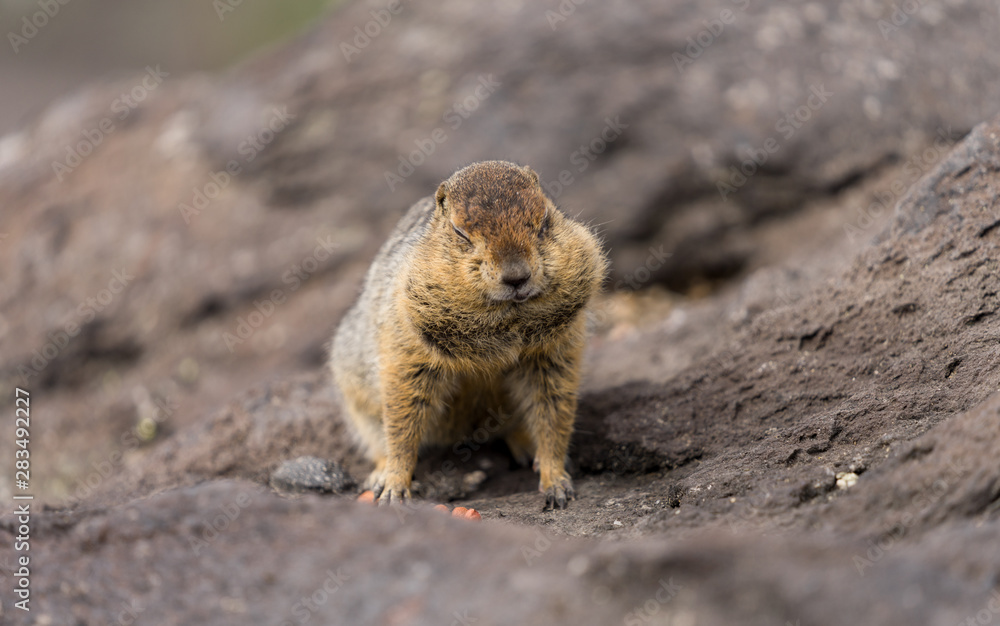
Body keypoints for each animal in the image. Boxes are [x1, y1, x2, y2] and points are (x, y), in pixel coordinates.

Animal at [330, 160, 607, 509]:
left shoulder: (553, 356)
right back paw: (379, 473)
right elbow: (401, 421)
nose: (517, 276)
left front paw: (556, 481)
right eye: (460, 232)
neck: (505, 319)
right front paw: (395, 485)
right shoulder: (406, 355)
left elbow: (553, 411)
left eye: (544, 220)